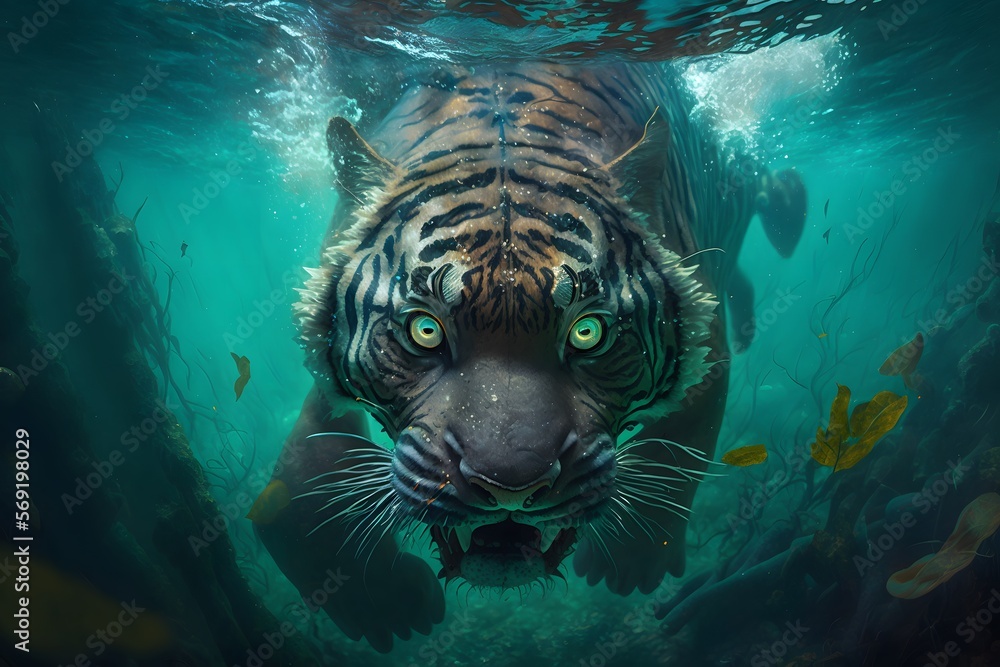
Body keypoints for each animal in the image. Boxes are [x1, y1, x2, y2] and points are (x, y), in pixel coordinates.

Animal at [256, 61, 807, 653]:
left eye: (587, 332)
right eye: (425, 330)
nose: (509, 487)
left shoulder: (708, 347)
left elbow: (682, 448)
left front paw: (631, 563)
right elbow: (294, 478)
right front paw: (383, 602)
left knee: (756, 180)